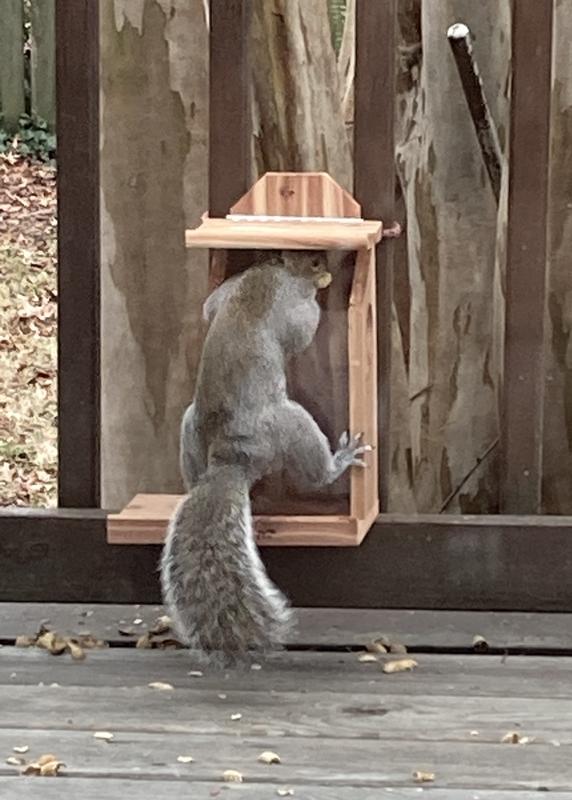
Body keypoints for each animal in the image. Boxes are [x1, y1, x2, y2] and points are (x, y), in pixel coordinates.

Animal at [160, 250, 371, 665]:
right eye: (314, 260)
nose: (325, 268)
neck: (268, 274)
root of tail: (230, 460)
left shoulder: (225, 292)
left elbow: (209, 307)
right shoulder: (291, 304)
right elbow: (305, 328)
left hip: (189, 428)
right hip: (291, 424)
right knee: (316, 470)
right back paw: (339, 460)